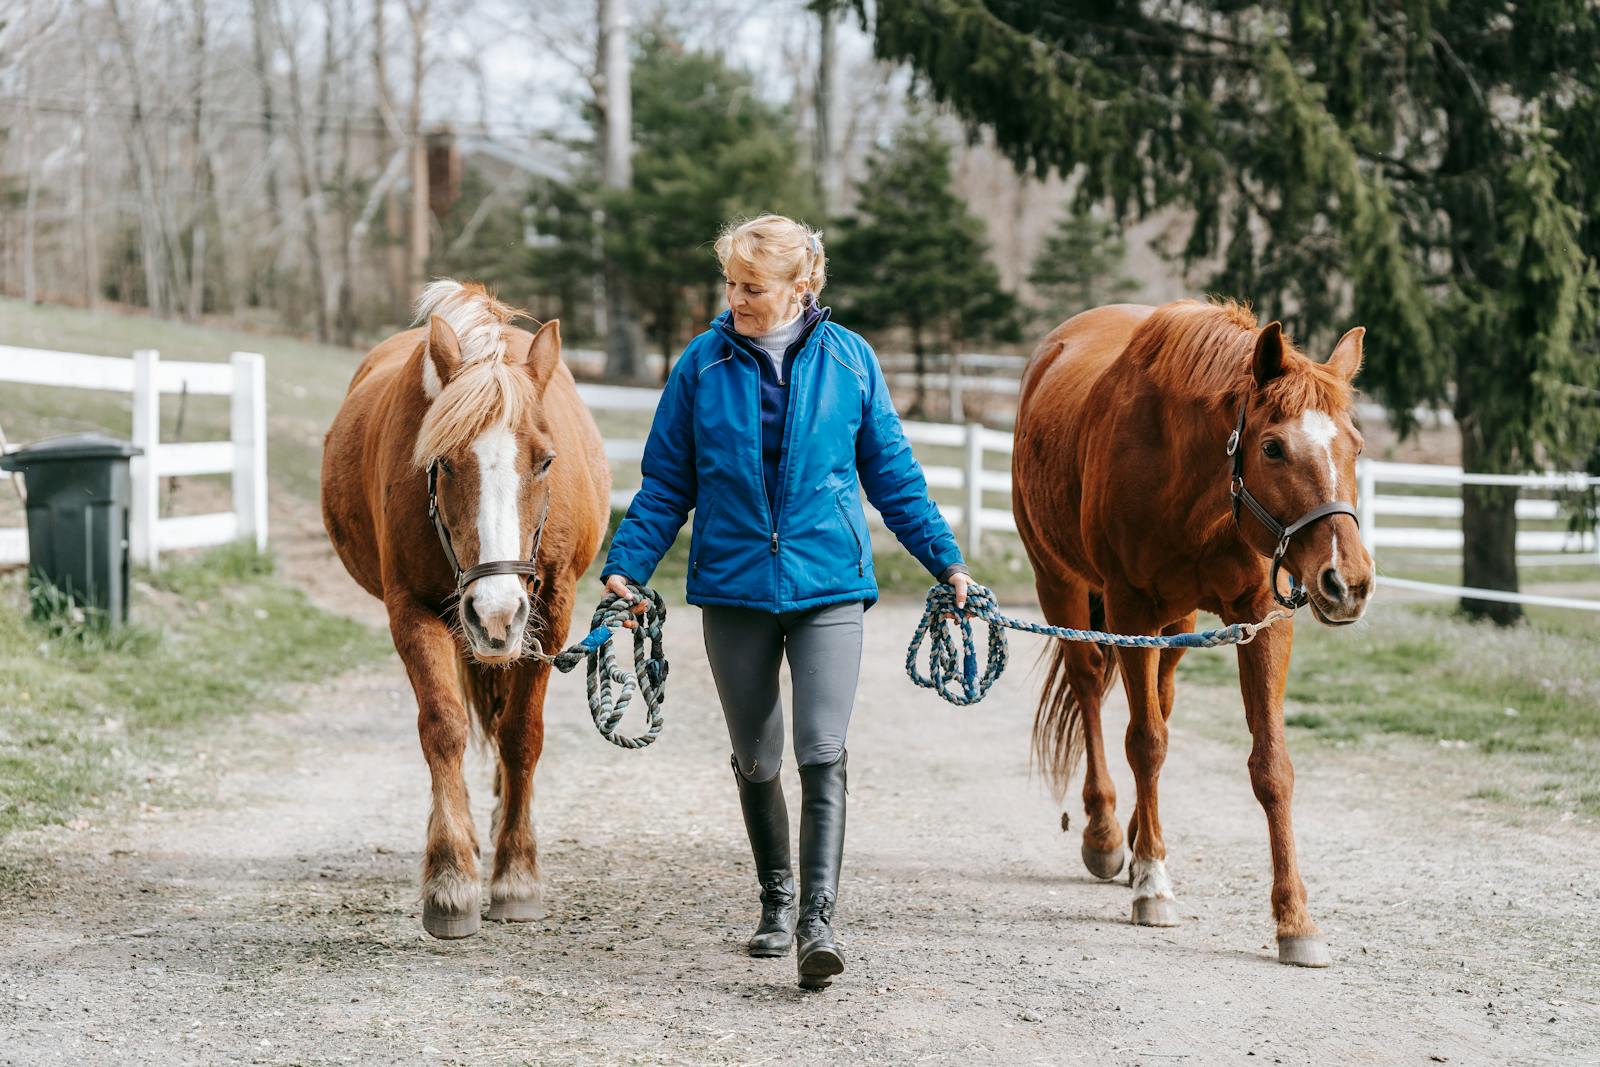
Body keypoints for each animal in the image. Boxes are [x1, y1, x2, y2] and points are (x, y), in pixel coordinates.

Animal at [321, 280, 611, 939]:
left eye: (545, 460)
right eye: (444, 461)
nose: (496, 611)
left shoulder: (549, 613)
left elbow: (522, 735)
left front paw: (517, 875)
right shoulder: (412, 610)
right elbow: (443, 728)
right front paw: (451, 879)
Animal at [1011, 299, 1374, 967]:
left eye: (1356, 446)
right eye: (1274, 447)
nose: (1348, 581)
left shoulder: (1262, 615)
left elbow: (1271, 765)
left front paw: (1295, 919)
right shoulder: (1129, 609)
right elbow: (1145, 743)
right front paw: (1152, 883)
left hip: (1175, 626)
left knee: (1163, 694)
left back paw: (1134, 832)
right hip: (1062, 584)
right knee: (1089, 687)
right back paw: (1108, 833)